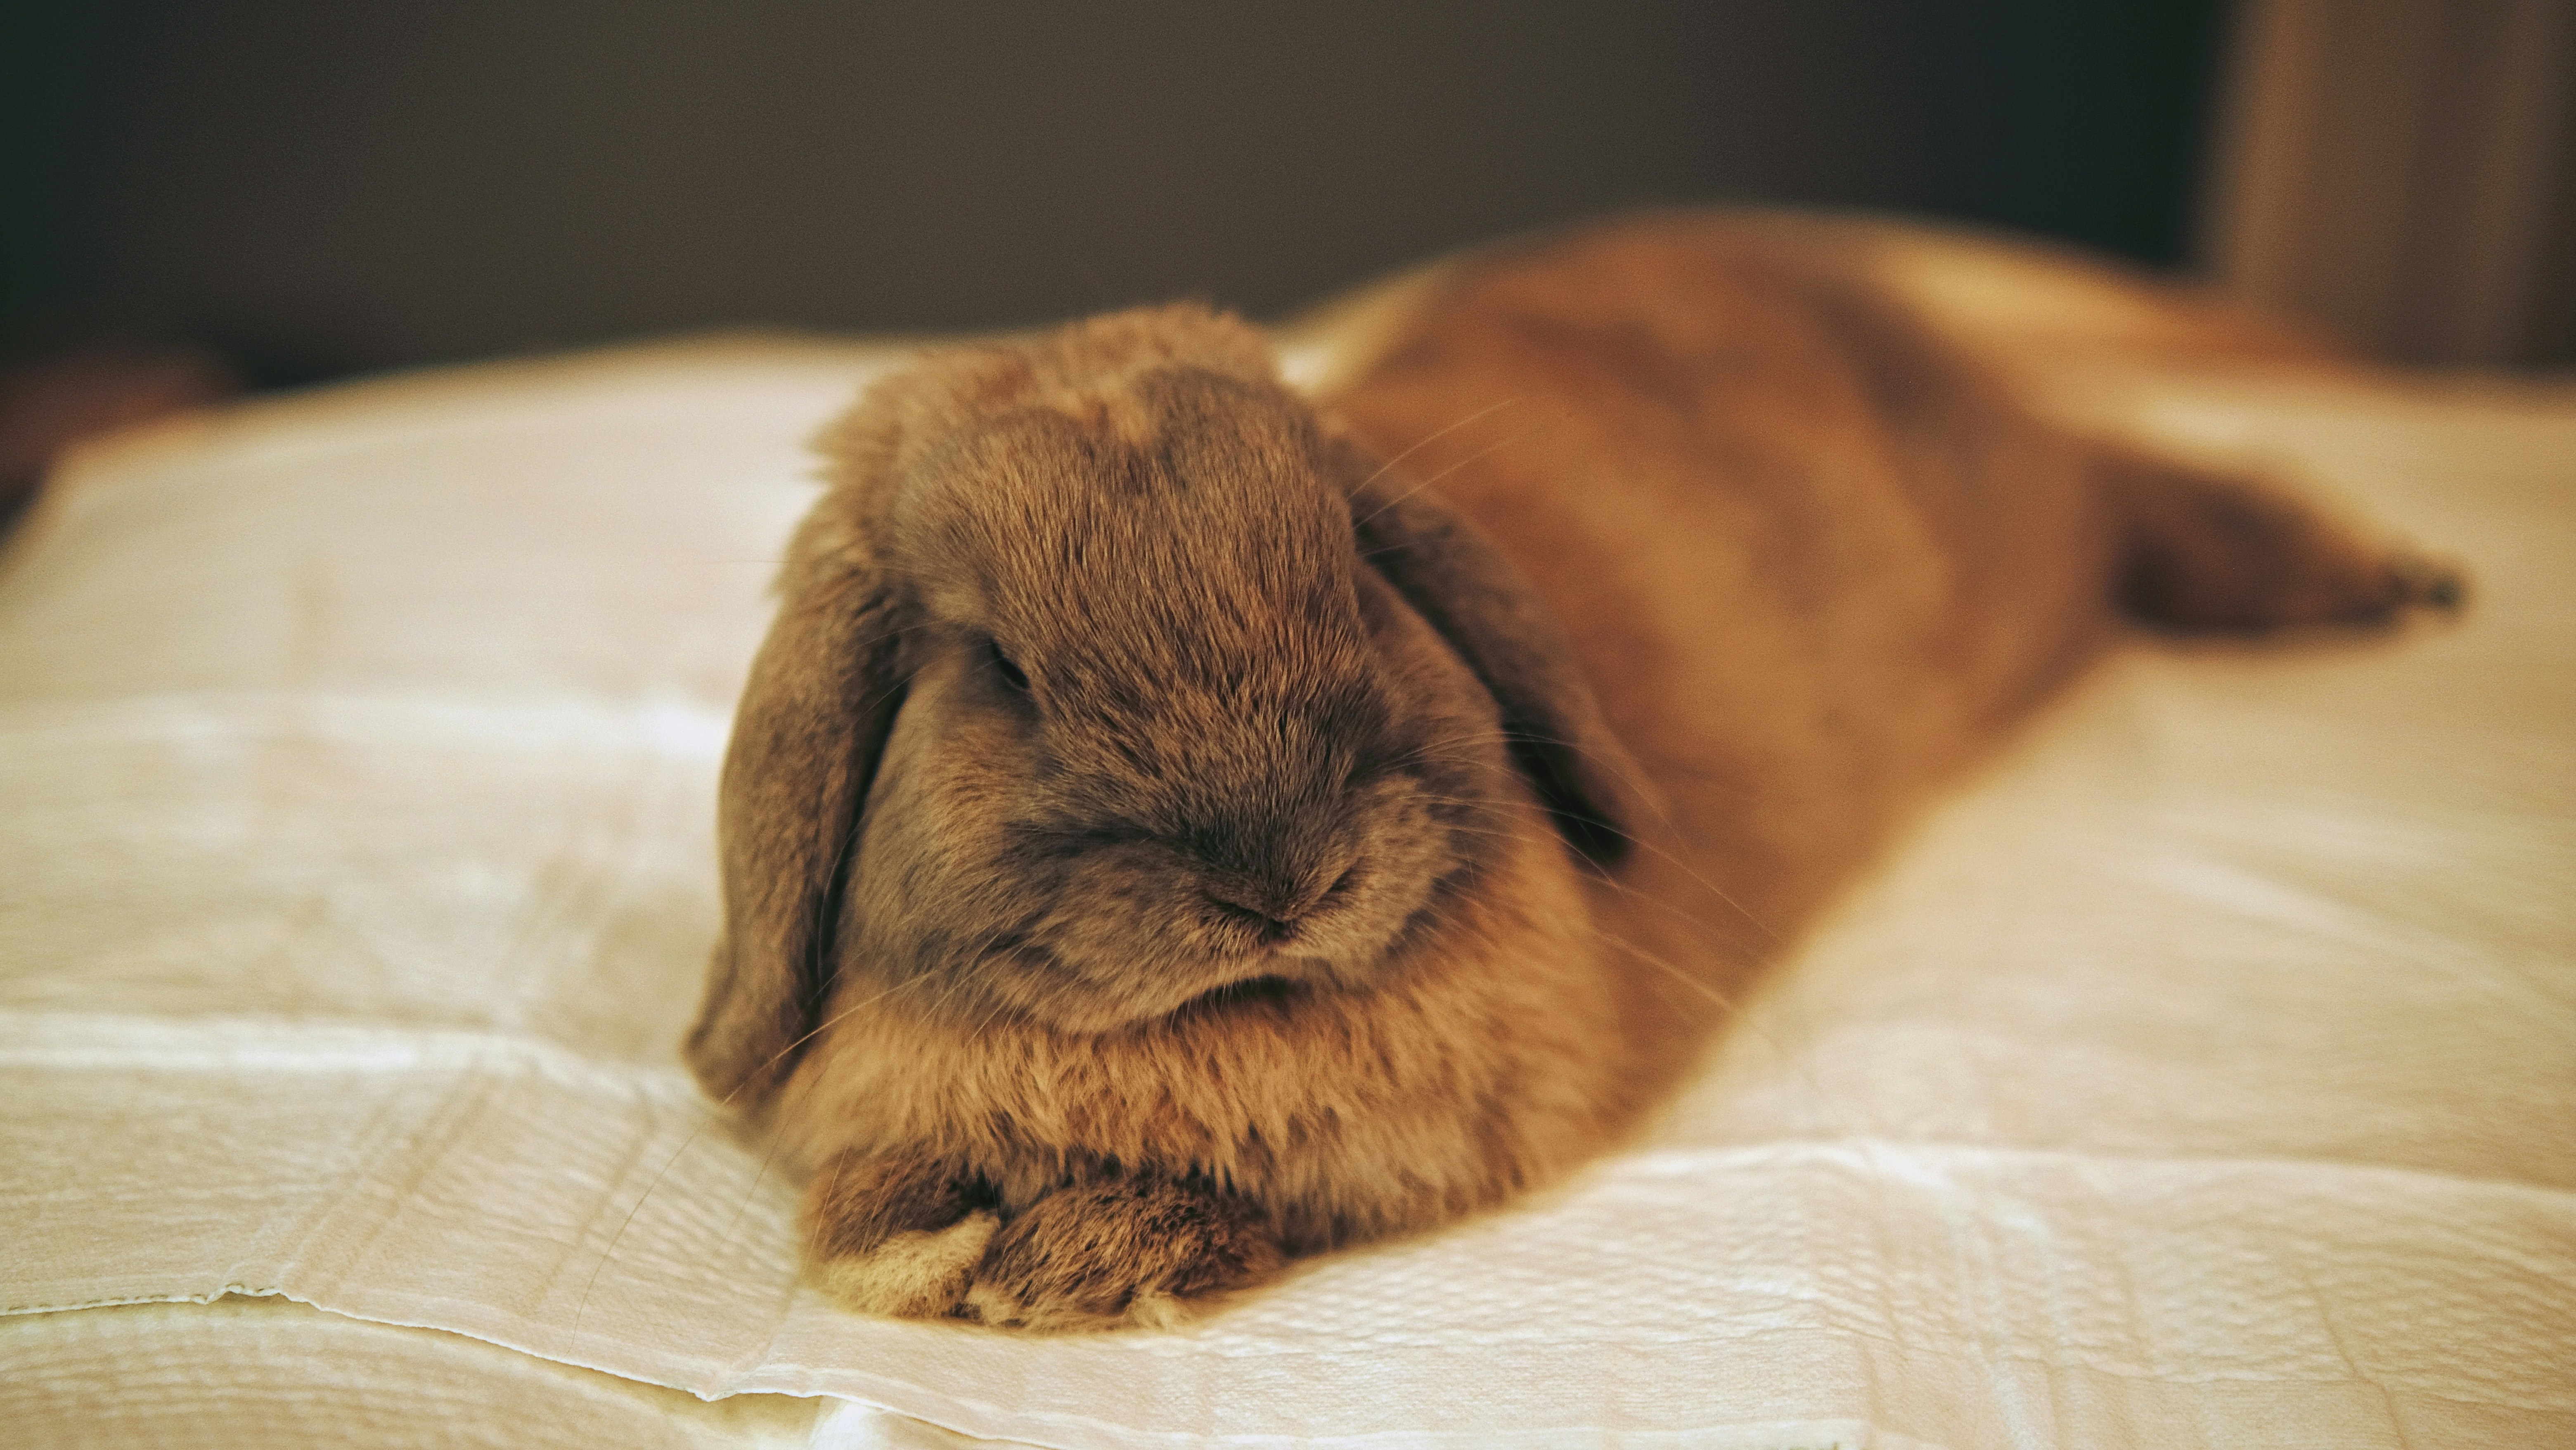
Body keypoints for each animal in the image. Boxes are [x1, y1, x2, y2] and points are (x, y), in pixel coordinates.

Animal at [684, 211, 2460, 1332]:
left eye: (1350, 582)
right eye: (998, 668)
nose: (1282, 881)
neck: (1234, 1010)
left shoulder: (1440, 1136)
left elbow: (1257, 1201)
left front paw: (1061, 1261)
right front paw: (924, 1236)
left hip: (2030, 531)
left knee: (2130, 480)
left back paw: (2372, 579)